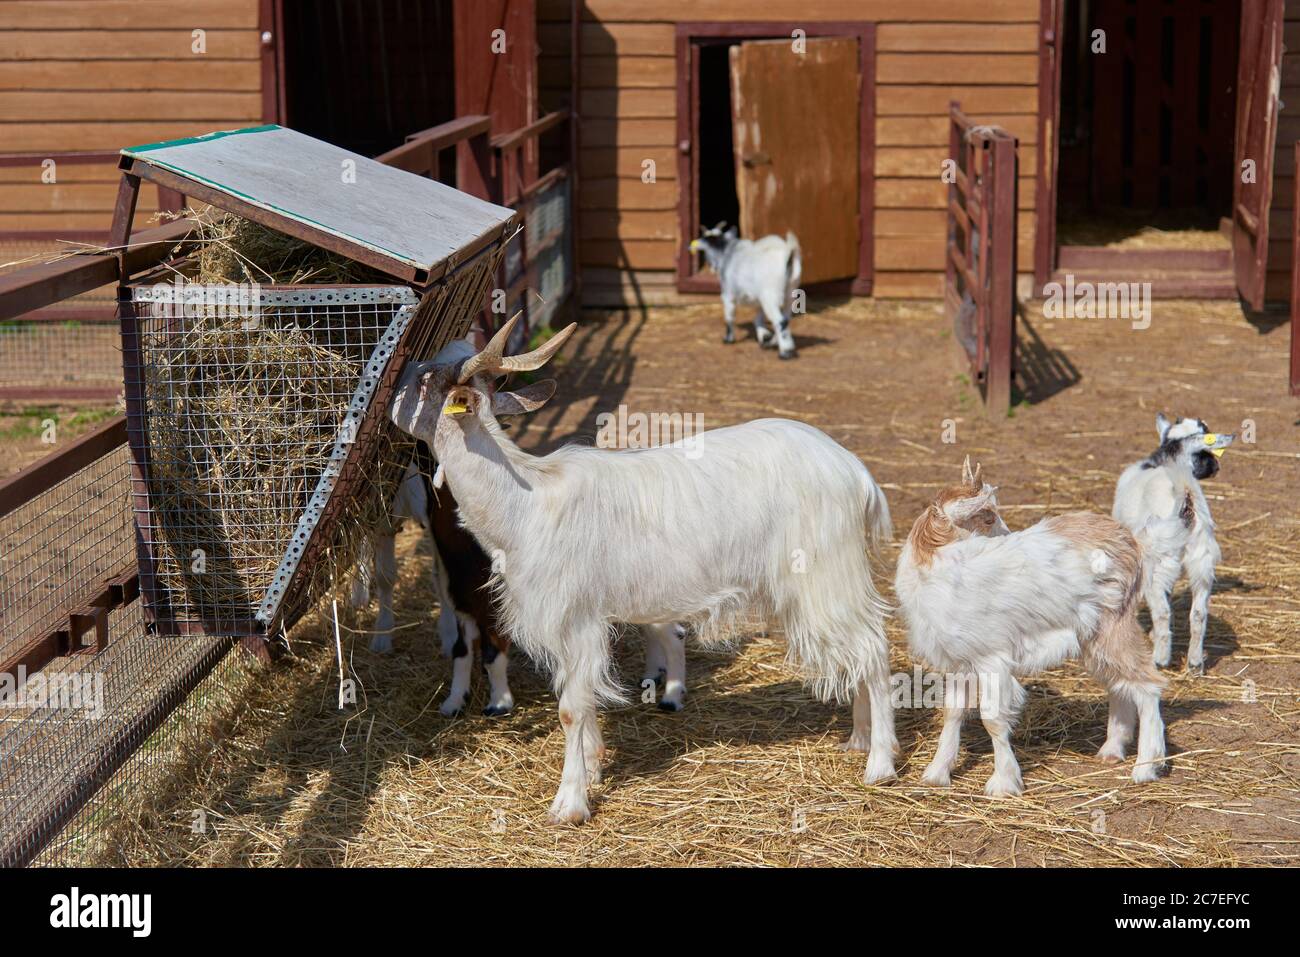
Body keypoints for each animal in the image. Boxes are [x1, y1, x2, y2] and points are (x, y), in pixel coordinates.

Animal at [388, 316, 896, 823]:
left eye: (426, 381)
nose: (395, 386)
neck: (525, 503)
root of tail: (858, 475)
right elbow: (582, 700)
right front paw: (593, 770)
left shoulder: (573, 618)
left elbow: (570, 708)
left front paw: (569, 804)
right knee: (864, 651)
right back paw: (858, 740)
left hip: (827, 575)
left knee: (873, 649)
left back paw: (880, 763)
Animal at [690, 223, 802, 359]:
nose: (711, 267)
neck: (727, 254)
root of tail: (788, 254)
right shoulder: (760, 300)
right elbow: (758, 319)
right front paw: (764, 336)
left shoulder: (728, 295)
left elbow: (729, 317)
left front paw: (728, 339)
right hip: (789, 295)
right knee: (785, 319)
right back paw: (773, 343)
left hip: (770, 296)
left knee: (780, 321)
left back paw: (785, 352)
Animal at [894, 458, 1166, 794]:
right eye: (987, 516)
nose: (1006, 533)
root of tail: (1131, 541)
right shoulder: (959, 660)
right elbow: (953, 711)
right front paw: (936, 773)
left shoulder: (992, 657)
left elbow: (993, 718)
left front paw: (1003, 782)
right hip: (1093, 639)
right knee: (1120, 685)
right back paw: (1112, 750)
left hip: (1115, 625)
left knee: (1148, 685)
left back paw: (1145, 767)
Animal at [1113, 414, 1235, 674]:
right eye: (1204, 454)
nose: (1216, 468)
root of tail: (1184, 496)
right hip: (1202, 563)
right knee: (1198, 614)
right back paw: (1195, 662)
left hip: (1158, 564)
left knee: (1162, 613)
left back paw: (1159, 658)